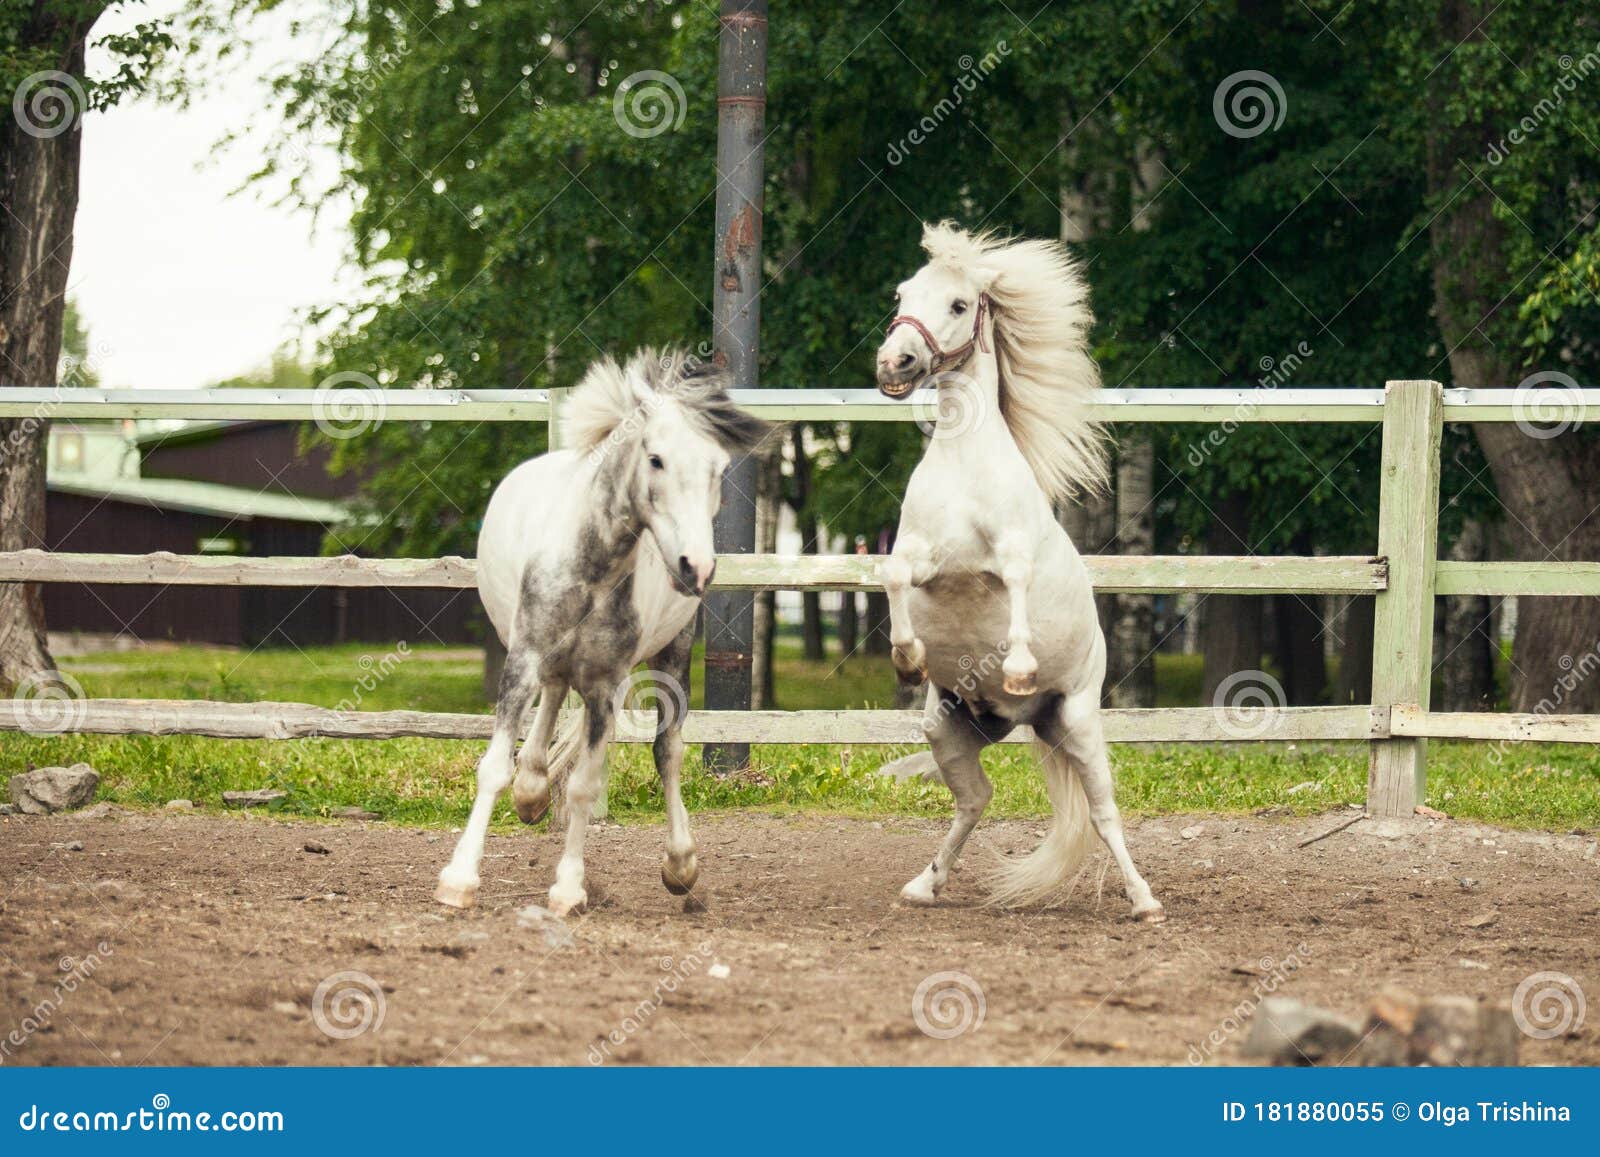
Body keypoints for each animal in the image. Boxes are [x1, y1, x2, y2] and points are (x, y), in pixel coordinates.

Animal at [436, 349, 768, 916]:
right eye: (655, 459)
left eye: (719, 468)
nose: (696, 567)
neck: (592, 567)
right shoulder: (522, 662)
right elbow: (495, 766)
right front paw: (459, 879)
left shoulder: (603, 685)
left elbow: (585, 787)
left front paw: (569, 889)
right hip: (547, 661)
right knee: (549, 704)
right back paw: (530, 791)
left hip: (672, 653)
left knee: (667, 751)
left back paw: (680, 864)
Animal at [873, 221, 1165, 923]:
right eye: (902, 293)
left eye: (957, 304)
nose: (895, 364)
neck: (964, 462)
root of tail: (1023, 720)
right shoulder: (920, 555)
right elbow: (891, 575)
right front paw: (907, 658)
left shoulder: (1009, 552)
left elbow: (1016, 584)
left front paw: (1019, 666)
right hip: (950, 731)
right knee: (975, 800)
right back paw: (924, 884)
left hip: (1079, 723)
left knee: (1105, 815)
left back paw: (1144, 901)